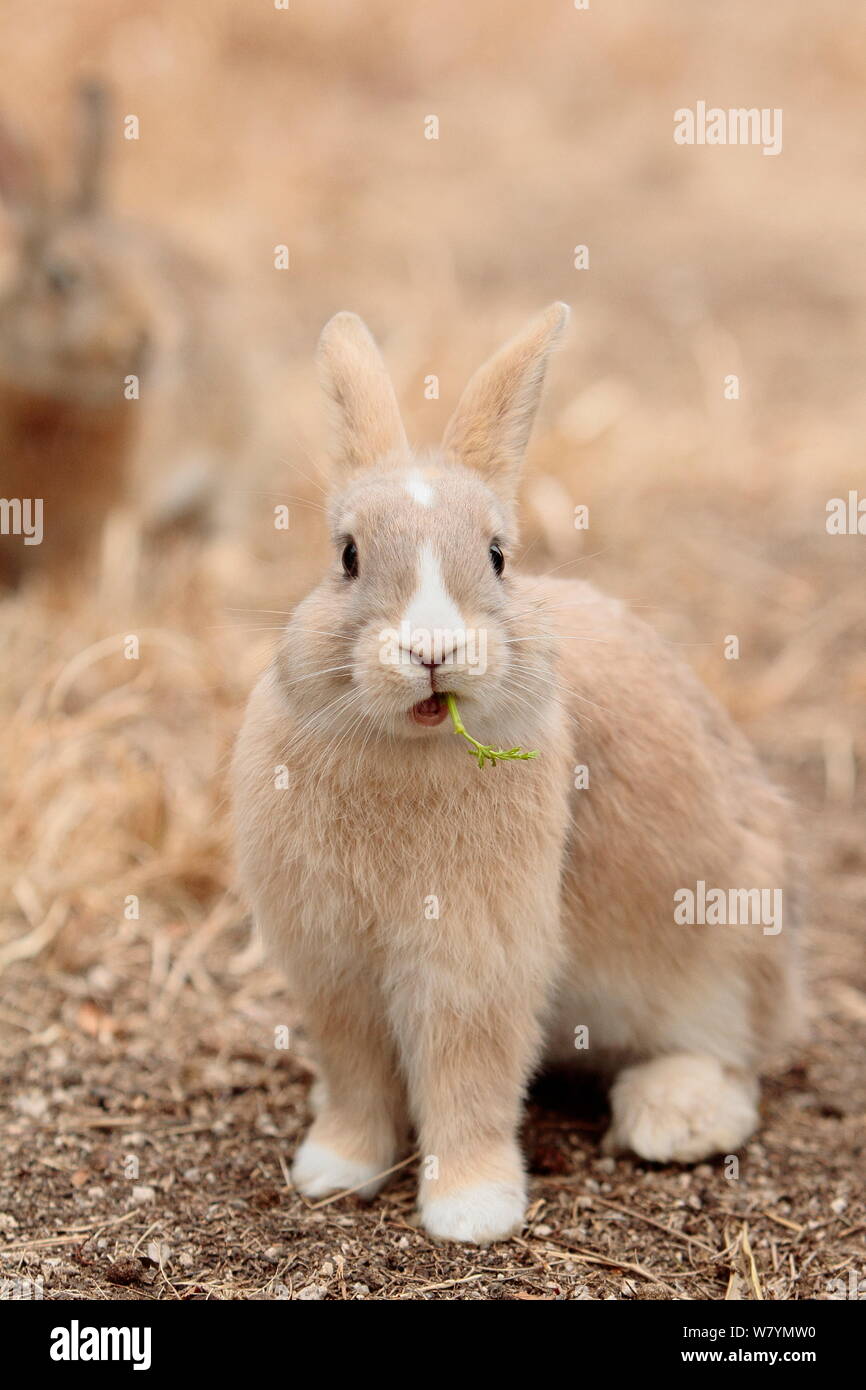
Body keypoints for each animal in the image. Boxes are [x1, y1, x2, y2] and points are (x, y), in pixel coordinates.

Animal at [231, 303, 802, 1244]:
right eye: (347, 556)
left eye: (498, 555)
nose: (433, 651)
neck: (411, 745)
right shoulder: (333, 961)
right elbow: (355, 1073)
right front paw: (332, 1170)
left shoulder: (477, 956)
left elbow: (469, 1074)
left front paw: (471, 1211)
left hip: (727, 948)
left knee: (733, 1055)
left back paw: (672, 1118)